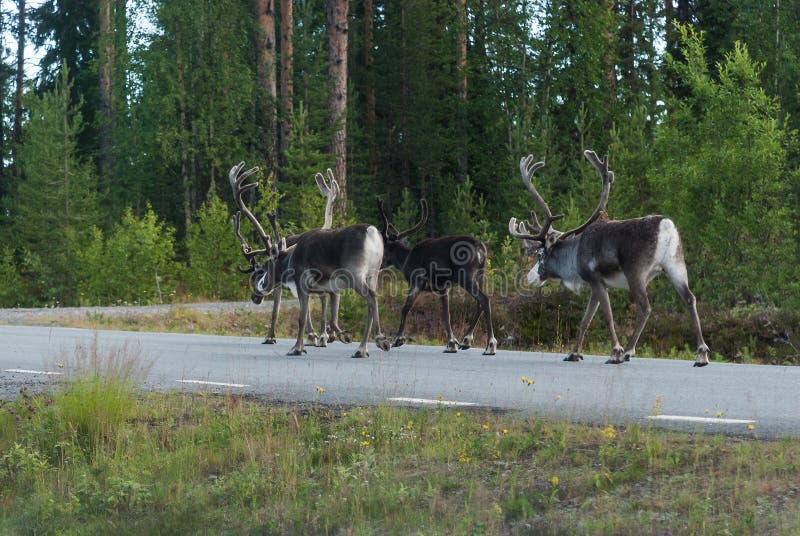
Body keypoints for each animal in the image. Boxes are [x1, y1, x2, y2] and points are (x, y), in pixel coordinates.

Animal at [231, 163, 390, 358]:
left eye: (268, 265)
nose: (257, 293)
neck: (290, 259)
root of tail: (372, 232)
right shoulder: (328, 289)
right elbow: (327, 316)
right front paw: (338, 336)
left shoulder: (302, 285)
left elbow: (301, 317)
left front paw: (297, 348)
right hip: (373, 273)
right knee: (372, 302)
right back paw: (377, 341)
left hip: (355, 274)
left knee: (371, 297)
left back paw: (364, 347)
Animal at [376, 197, 497, 355]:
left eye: (383, 247)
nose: (378, 264)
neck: (405, 260)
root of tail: (482, 249)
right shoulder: (443, 287)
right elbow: (446, 313)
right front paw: (452, 343)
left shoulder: (417, 281)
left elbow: (405, 308)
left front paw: (398, 339)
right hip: (480, 276)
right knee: (480, 303)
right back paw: (466, 340)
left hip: (467, 276)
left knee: (484, 299)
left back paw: (490, 345)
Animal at [508, 151, 711, 366]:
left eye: (540, 255)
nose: (529, 277)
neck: (574, 255)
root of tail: (666, 227)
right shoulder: (596, 285)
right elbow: (585, 320)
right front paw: (574, 353)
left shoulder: (596, 279)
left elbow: (607, 316)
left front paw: (615, 351)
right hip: (676, 265)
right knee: (690, 299)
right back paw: (701, 354)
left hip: (635, 272)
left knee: (645, 307)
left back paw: (628, 351)